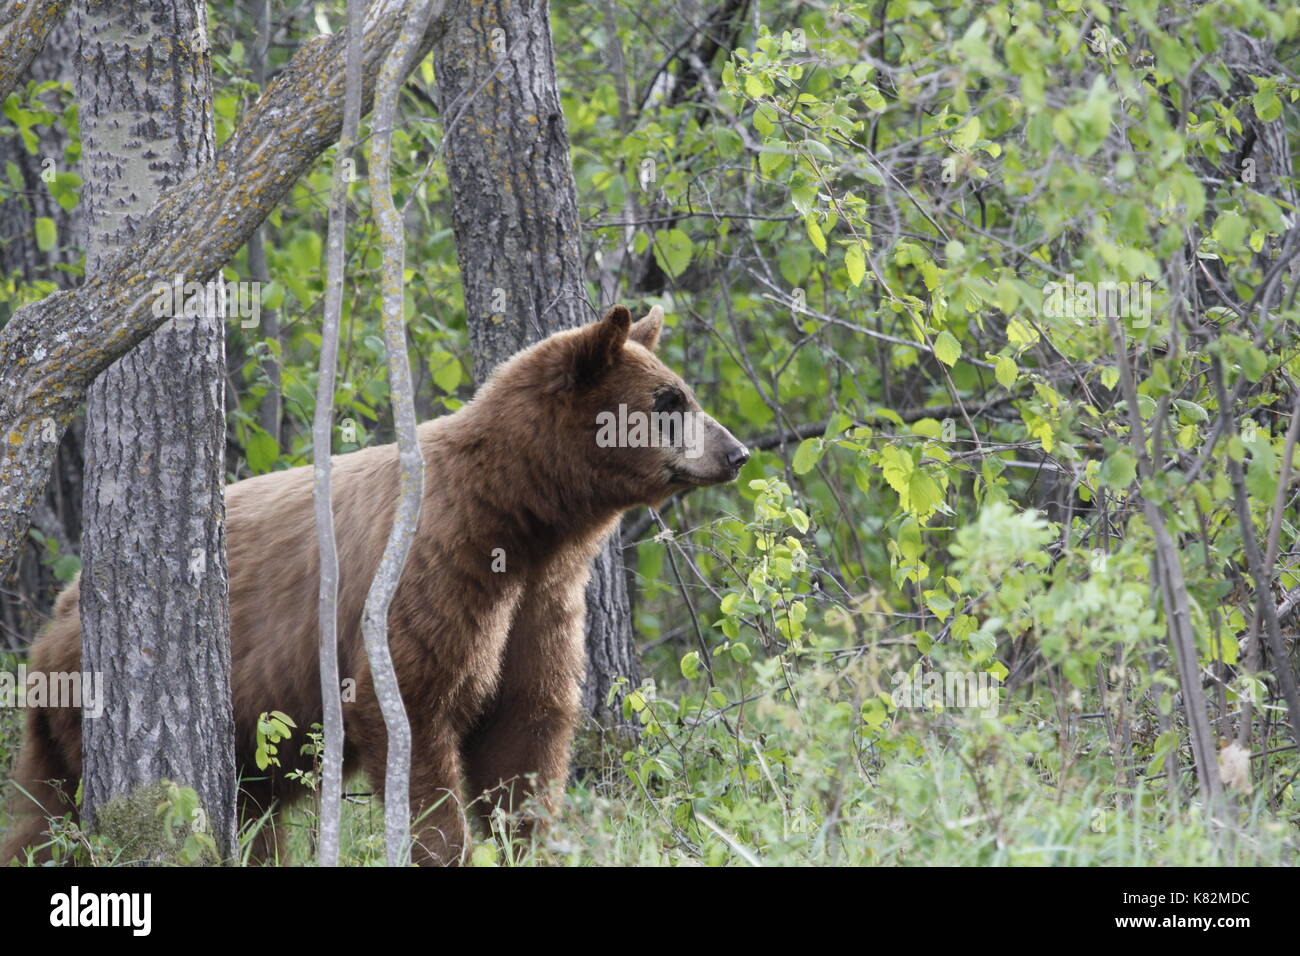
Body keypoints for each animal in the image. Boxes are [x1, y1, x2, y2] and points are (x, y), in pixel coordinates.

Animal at [2, 304, 749, 866]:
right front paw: (443, 848)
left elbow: (526, 732)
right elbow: (413, 715)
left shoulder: (540, 603)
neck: (520, 519)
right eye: (669, 401)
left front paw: (531, 840)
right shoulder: (434, 573)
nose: (736, 452)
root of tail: (58, 613)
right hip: (96, 701)